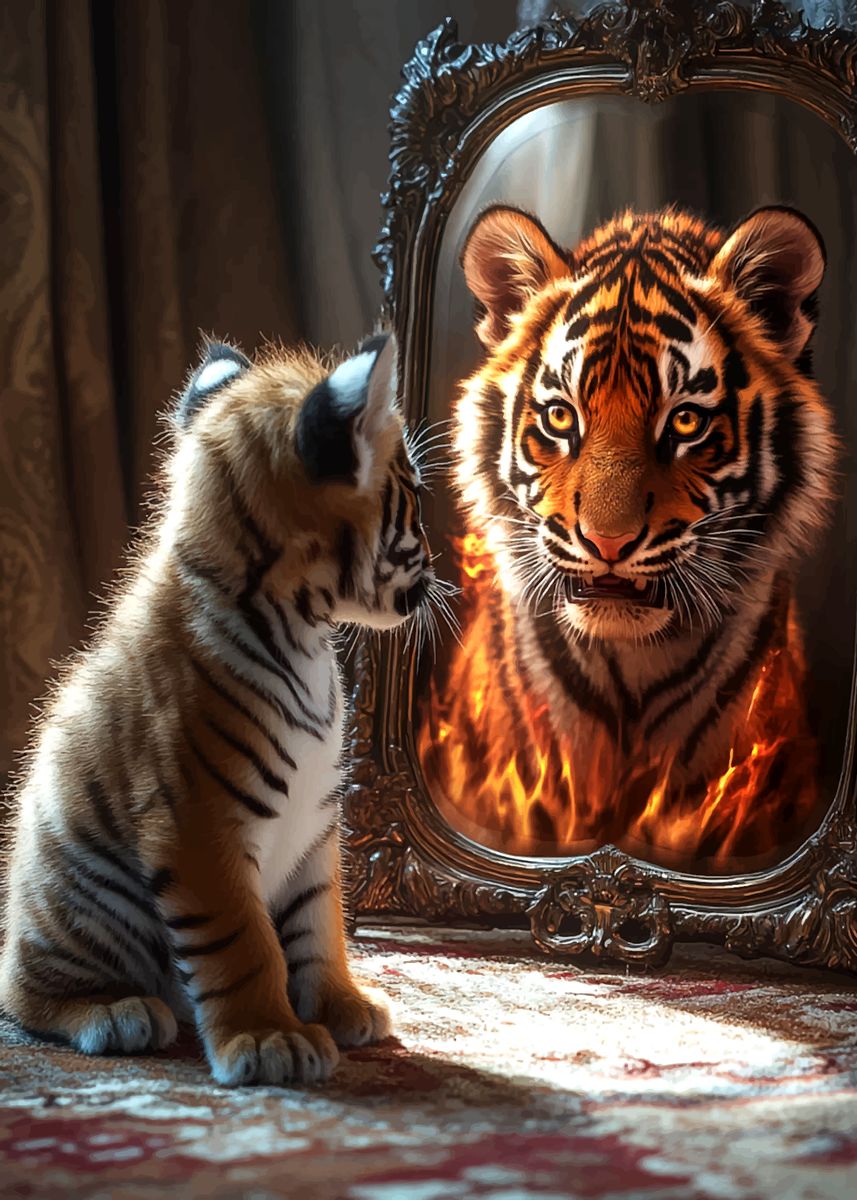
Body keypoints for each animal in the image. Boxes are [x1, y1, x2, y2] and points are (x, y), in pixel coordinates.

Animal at [0, 331, 435, 1086]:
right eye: (410, 494)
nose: (438, 564)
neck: (301, 630)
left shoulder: (317, 825)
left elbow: (320, 924)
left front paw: (342, 1006)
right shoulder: (199, 824)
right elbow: (245, 943)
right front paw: (271, 1040)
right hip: (71, 904)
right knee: (23, 992)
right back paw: (118, 1013)